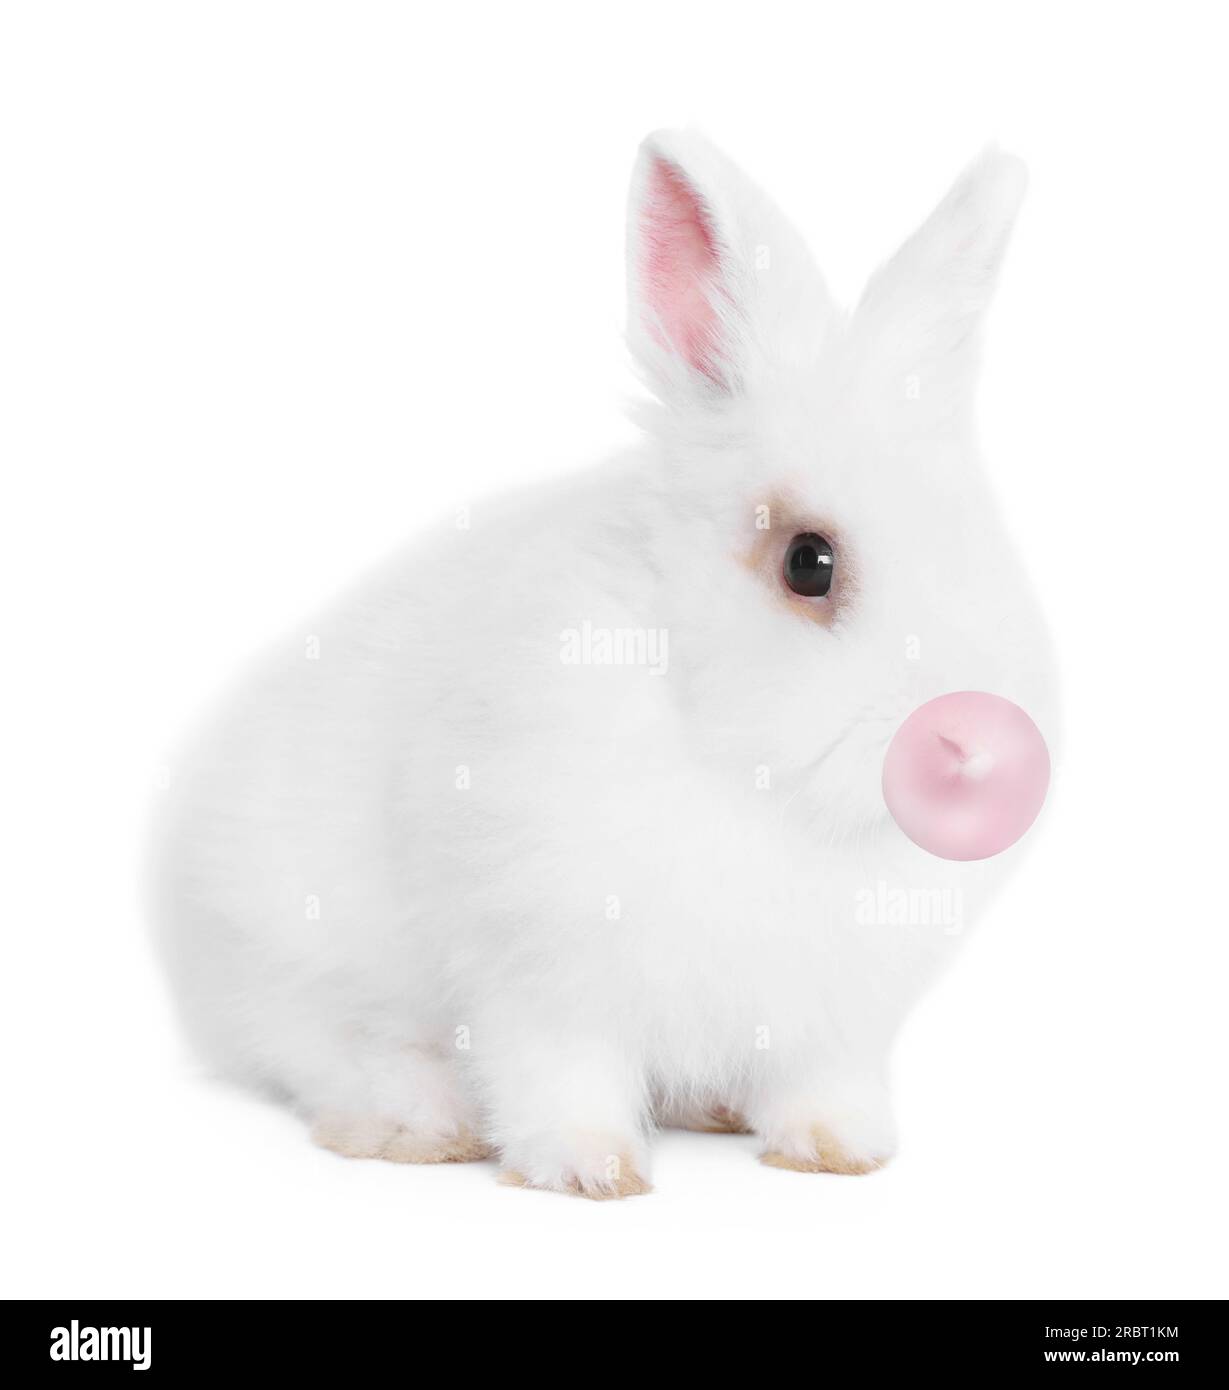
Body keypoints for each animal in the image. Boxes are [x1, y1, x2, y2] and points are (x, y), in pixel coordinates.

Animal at [155, 129, 1055, 1198]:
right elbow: (558, 1078)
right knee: (321, 1047)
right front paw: (589, 1172)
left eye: (986, 535)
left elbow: (817, 1084)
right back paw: (420, 1122)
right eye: (808, 562)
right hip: (287, 951)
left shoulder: (829, 1022)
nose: (978, 734)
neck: (752, 784)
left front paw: (841, 1152)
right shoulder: (540, 972)